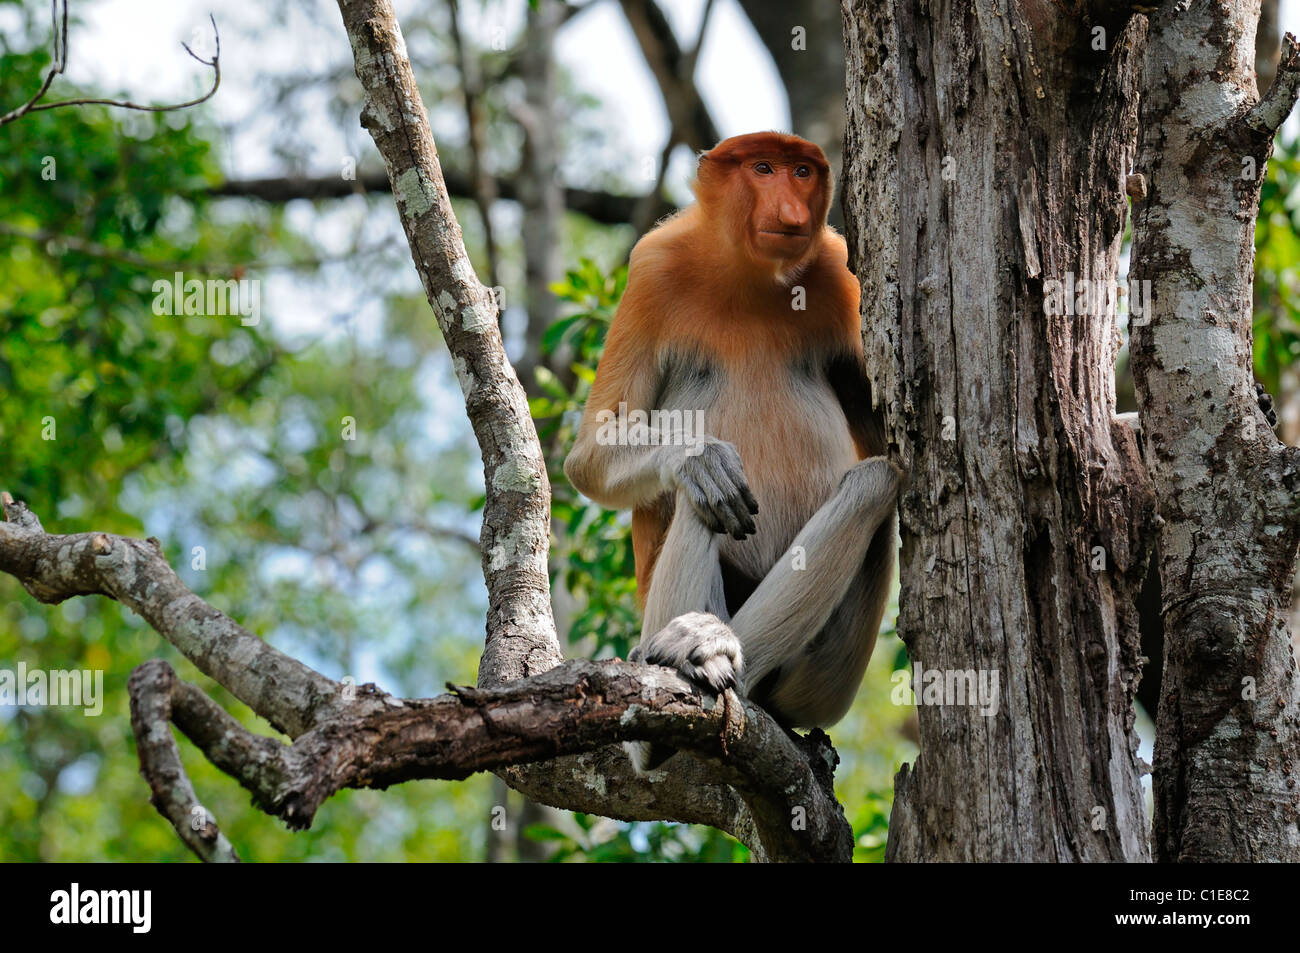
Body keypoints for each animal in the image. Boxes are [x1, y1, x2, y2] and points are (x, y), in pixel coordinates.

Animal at [563, 131, 899, 772]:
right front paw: (699, 457)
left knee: (876, 483)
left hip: (824, 681)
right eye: (763, 168)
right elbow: (591, 454)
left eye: (801, 172)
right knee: (705, 503)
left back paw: (715, 652)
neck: (753, 278)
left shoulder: (841, 276)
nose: (791, 213)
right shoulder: (652, 270)